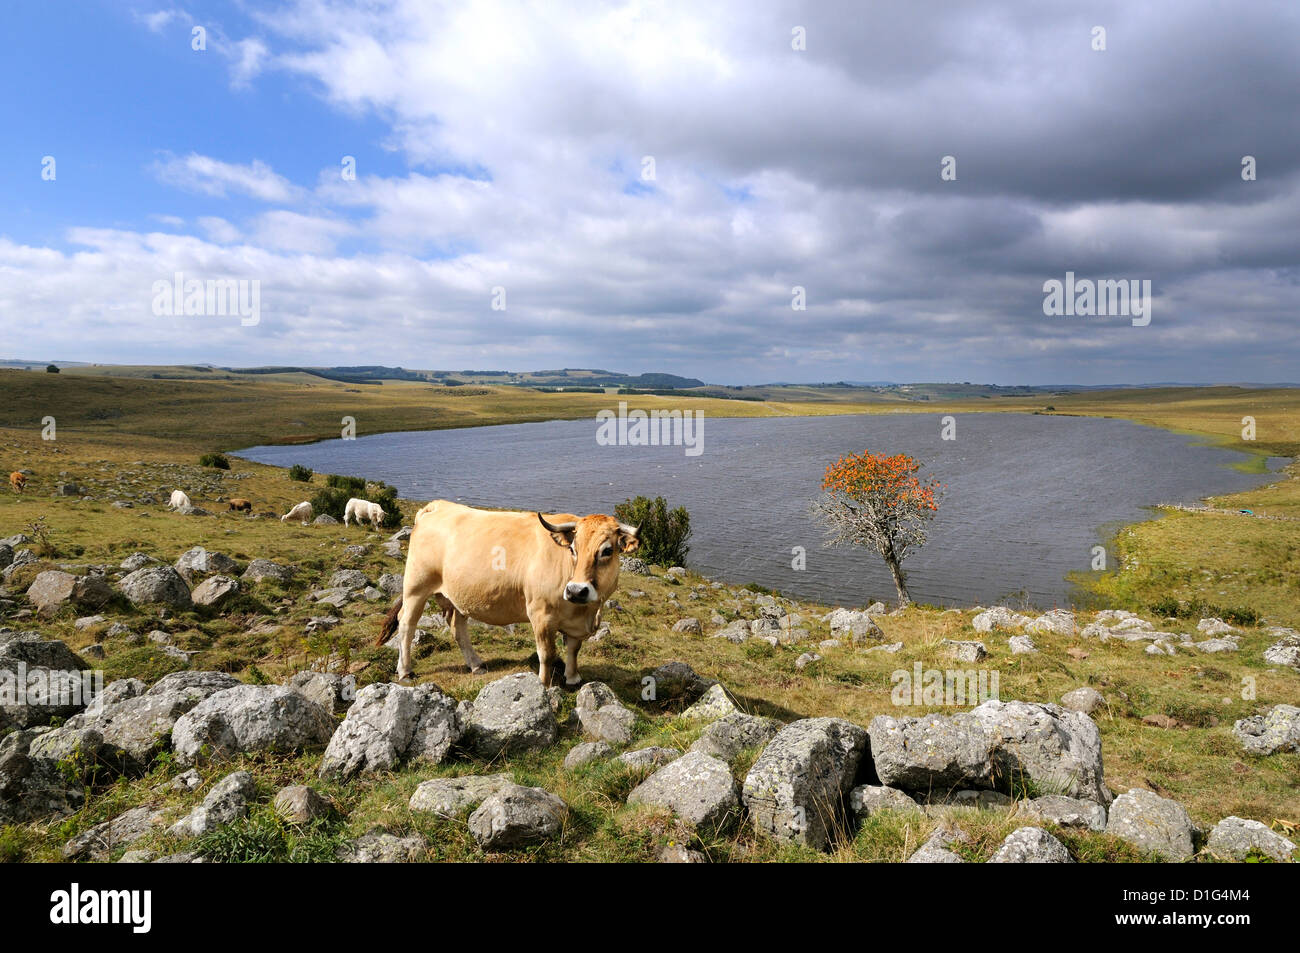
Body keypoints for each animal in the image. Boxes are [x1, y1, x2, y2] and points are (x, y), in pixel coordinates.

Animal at [377, 501, 639, 687]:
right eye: (573, 548)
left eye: (607, 551)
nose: (576, 590)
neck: (586, 612)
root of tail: (437, 506)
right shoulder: (540, 614)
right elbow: (547, 653)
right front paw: (544, 685)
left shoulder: (576, 622)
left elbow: (573, 649)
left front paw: (573, 678)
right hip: (416, 587)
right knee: (406, 624)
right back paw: (405, 671)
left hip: (458, 595)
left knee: (457, 628)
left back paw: (476, 665)